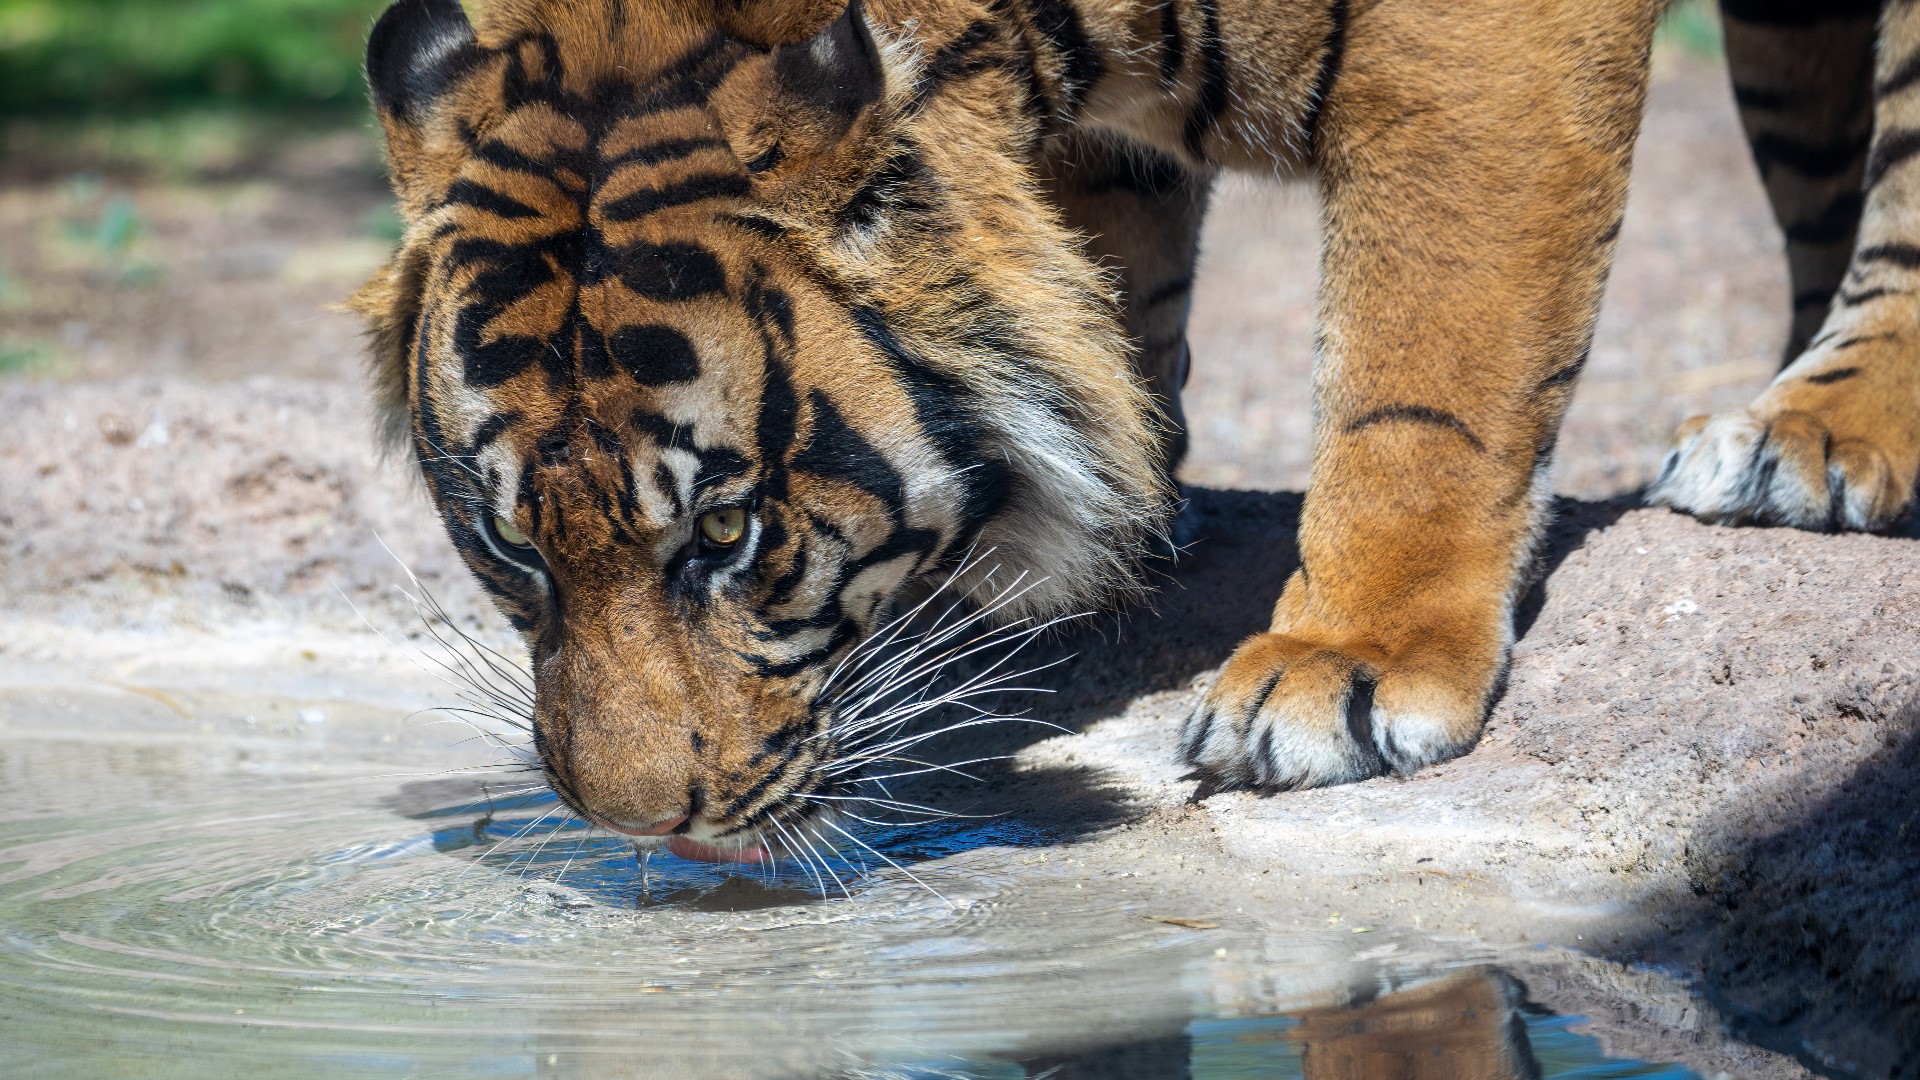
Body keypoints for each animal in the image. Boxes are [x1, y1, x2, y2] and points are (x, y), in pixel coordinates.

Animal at [353, 0, 1920, 858]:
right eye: (510, 548)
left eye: (727, 532)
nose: (637, 833)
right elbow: (1114, 286)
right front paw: (1130, 513)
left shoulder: (1478, 46)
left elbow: (1424, 361)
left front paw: (1348, 661)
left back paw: (1811, 433)